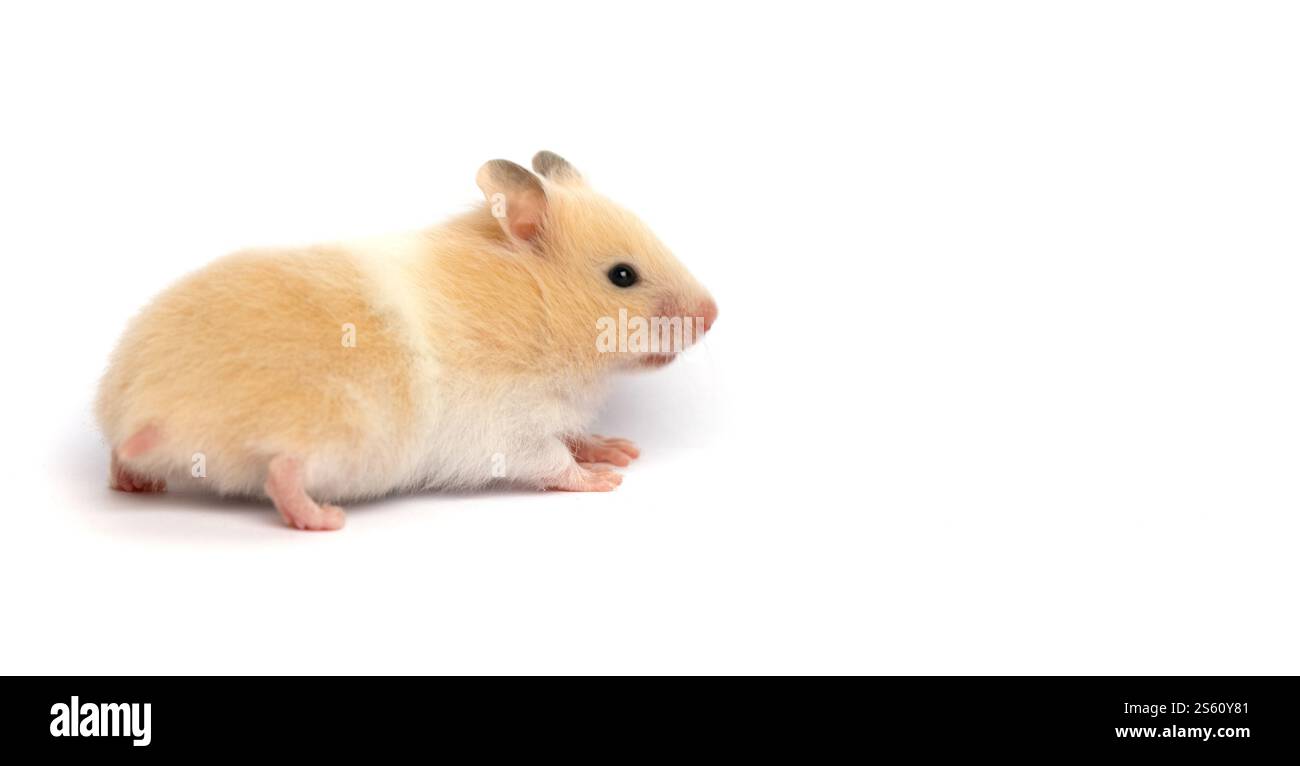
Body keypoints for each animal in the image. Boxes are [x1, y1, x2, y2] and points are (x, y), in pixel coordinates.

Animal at [96, 151, 718, 530]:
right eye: (622, 275)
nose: (713, 315)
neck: (537, 308)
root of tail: (144, 413)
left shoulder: (555, 413)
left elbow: (578, 435)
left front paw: (620, 450)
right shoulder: (511, 428)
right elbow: (554, 461)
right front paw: (606, 480)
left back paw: (133, 485)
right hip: (336, 434)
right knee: (281, 473)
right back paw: (324, 520)